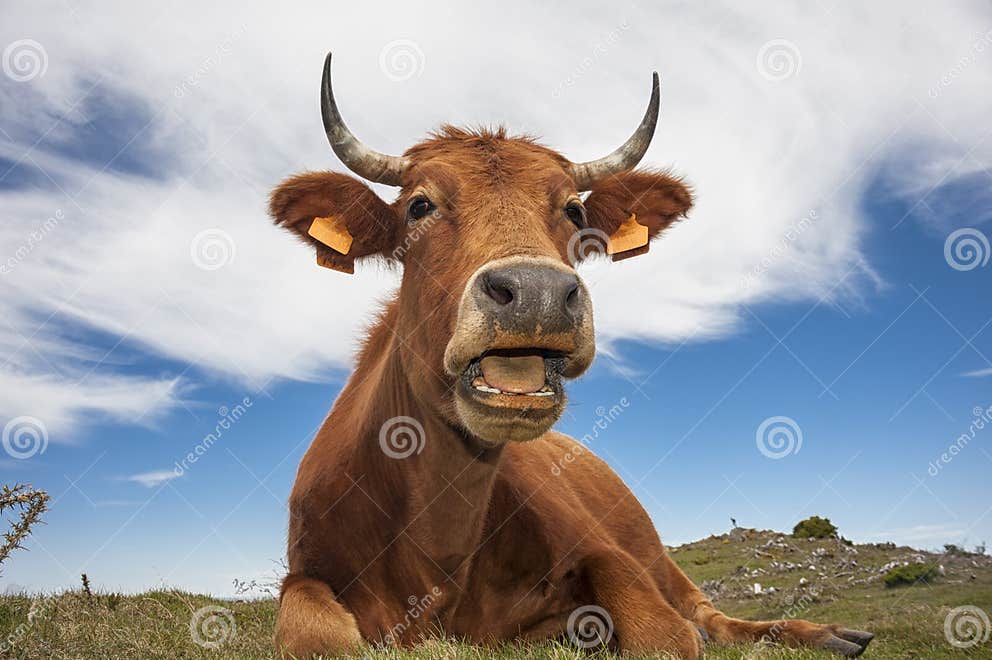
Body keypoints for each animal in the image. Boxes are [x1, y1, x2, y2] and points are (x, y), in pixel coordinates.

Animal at [267, 53, 875, 659]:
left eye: (575, 210)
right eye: (420, 206)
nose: (535, 292)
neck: (437, 552)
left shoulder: (606, 552)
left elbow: (665, 634)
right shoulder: (304, 572)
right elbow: (313, 629)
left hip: (661, 558)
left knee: (714, 617)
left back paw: (826, 633)